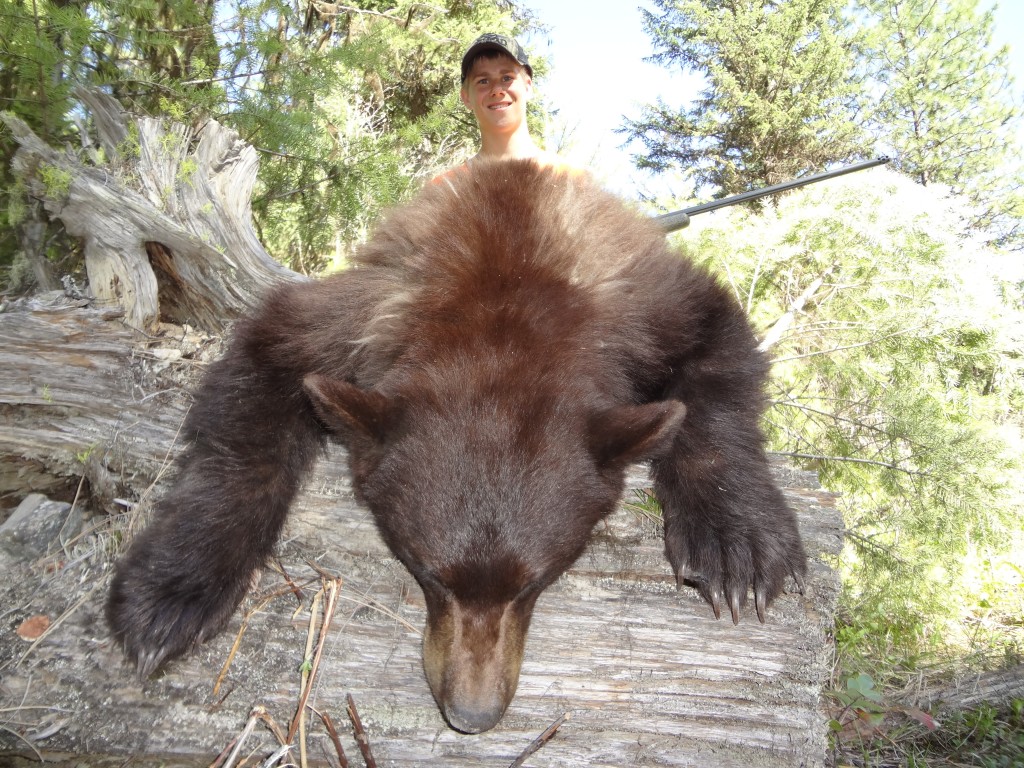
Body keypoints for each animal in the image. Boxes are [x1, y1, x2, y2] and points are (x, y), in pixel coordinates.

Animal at [107, 159, 807, 735]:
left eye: (538, 581)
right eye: (427, 573)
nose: (472, 717)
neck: (503, 302)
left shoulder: (641, 304)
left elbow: (718, 350)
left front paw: (736, 543)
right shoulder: (360, 313)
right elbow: (254, 390)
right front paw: (172, 590)